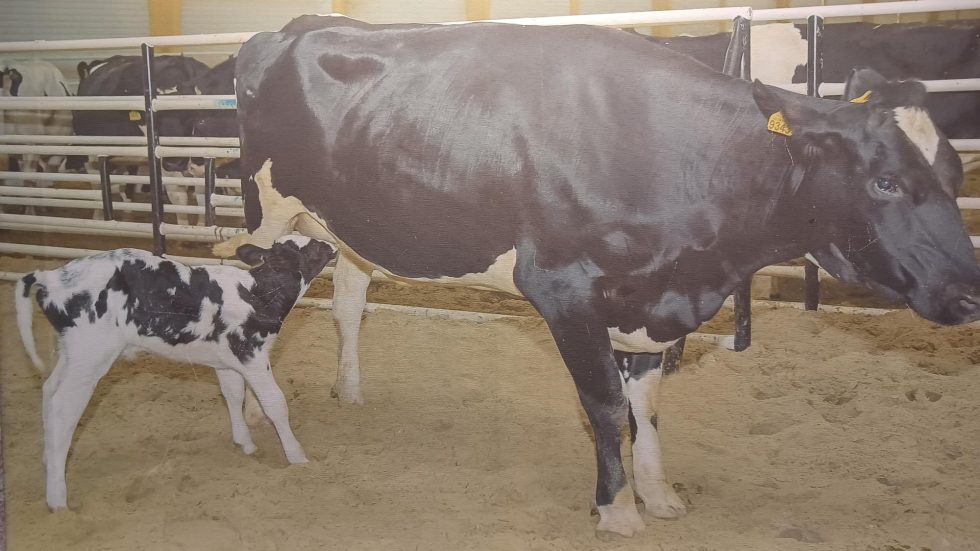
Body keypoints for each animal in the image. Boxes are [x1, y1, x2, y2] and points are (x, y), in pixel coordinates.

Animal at [14, 235, 337, 511]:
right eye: (312, 247)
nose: (333, 245)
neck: (256, 293)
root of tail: (51, 277)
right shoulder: (252, 355)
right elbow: (275, 404)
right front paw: (297, 456)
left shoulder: (226, 362)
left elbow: (233, 396)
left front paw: (244, 443)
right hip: (90, 357)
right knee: (62, 407)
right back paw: (57, 498)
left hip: (72, 356)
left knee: (48, 391)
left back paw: (48, 459)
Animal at [70, 55, 211, 225]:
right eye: (154, 119)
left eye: (190, 113)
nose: (173, 163)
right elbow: (179, 199)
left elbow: (202, 196)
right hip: (90, 151)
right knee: (97, 184)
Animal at [215, 17, 980, 536]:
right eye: (885, 180)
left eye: (954, 174)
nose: (972, 291)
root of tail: (289, 28)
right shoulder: (564, 289)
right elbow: (607, 405)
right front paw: (616, 509)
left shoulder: (654, 300)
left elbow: (649, 405)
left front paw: (660, 494)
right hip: (263, 213)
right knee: (249, 299)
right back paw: (251, 411)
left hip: (345, 227)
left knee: (349, 300)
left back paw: (349, 390)